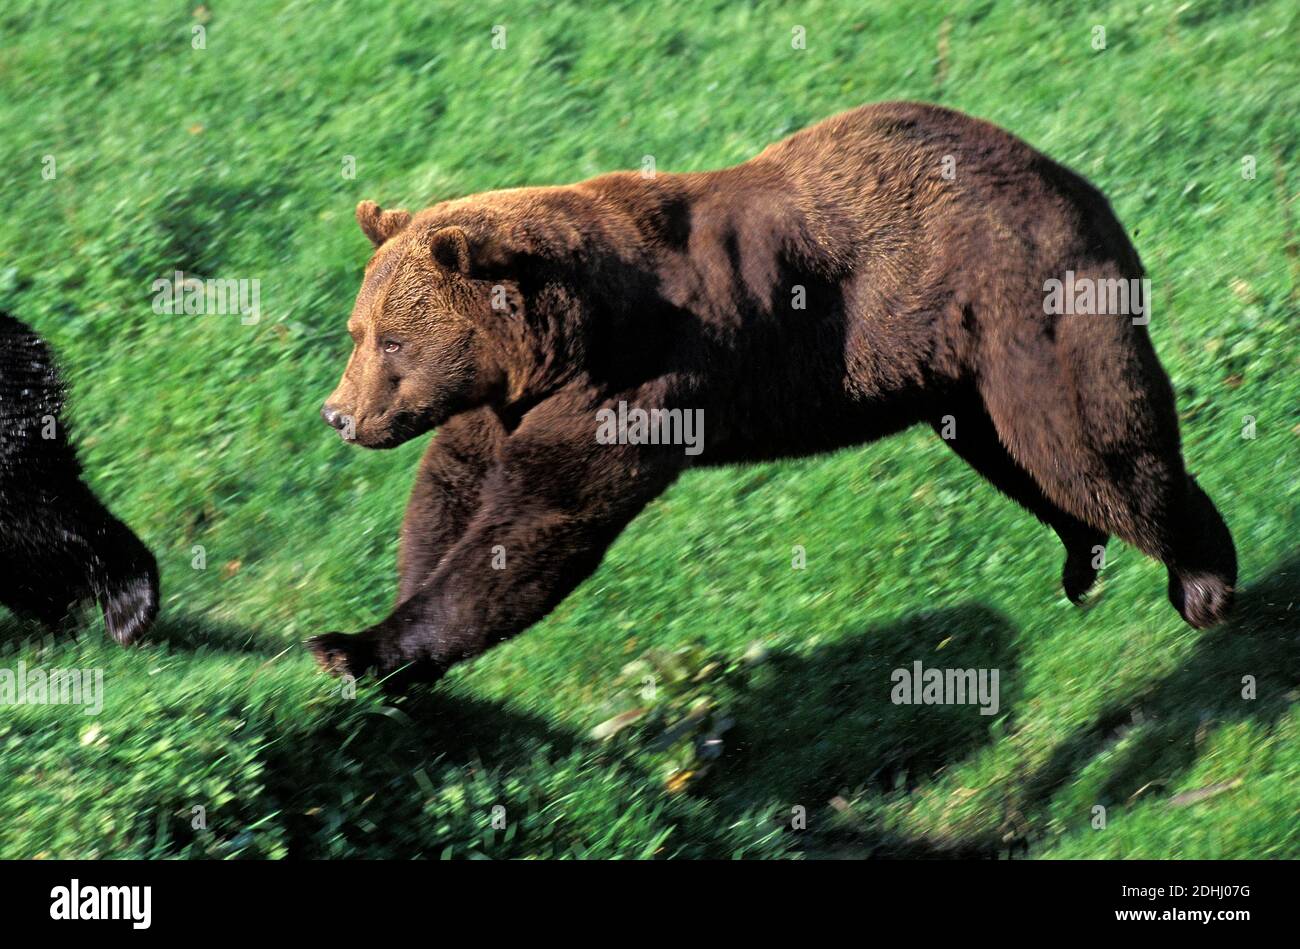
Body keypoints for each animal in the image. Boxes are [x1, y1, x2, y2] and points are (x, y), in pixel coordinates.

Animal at [307, 100, 1236, 686]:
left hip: (1019, 300)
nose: (341, 415)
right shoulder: (505, 401)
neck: (567, 337)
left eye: (391, 340)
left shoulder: (641, 379)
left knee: (1082, 441)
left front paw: (353, 647)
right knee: (1014, 456)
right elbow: (453, 489)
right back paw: (1082, 554)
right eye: (358, 331)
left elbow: (538, 521)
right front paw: (379, 631)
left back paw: (1198, 574)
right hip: (960, 372)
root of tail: (1064, 172)